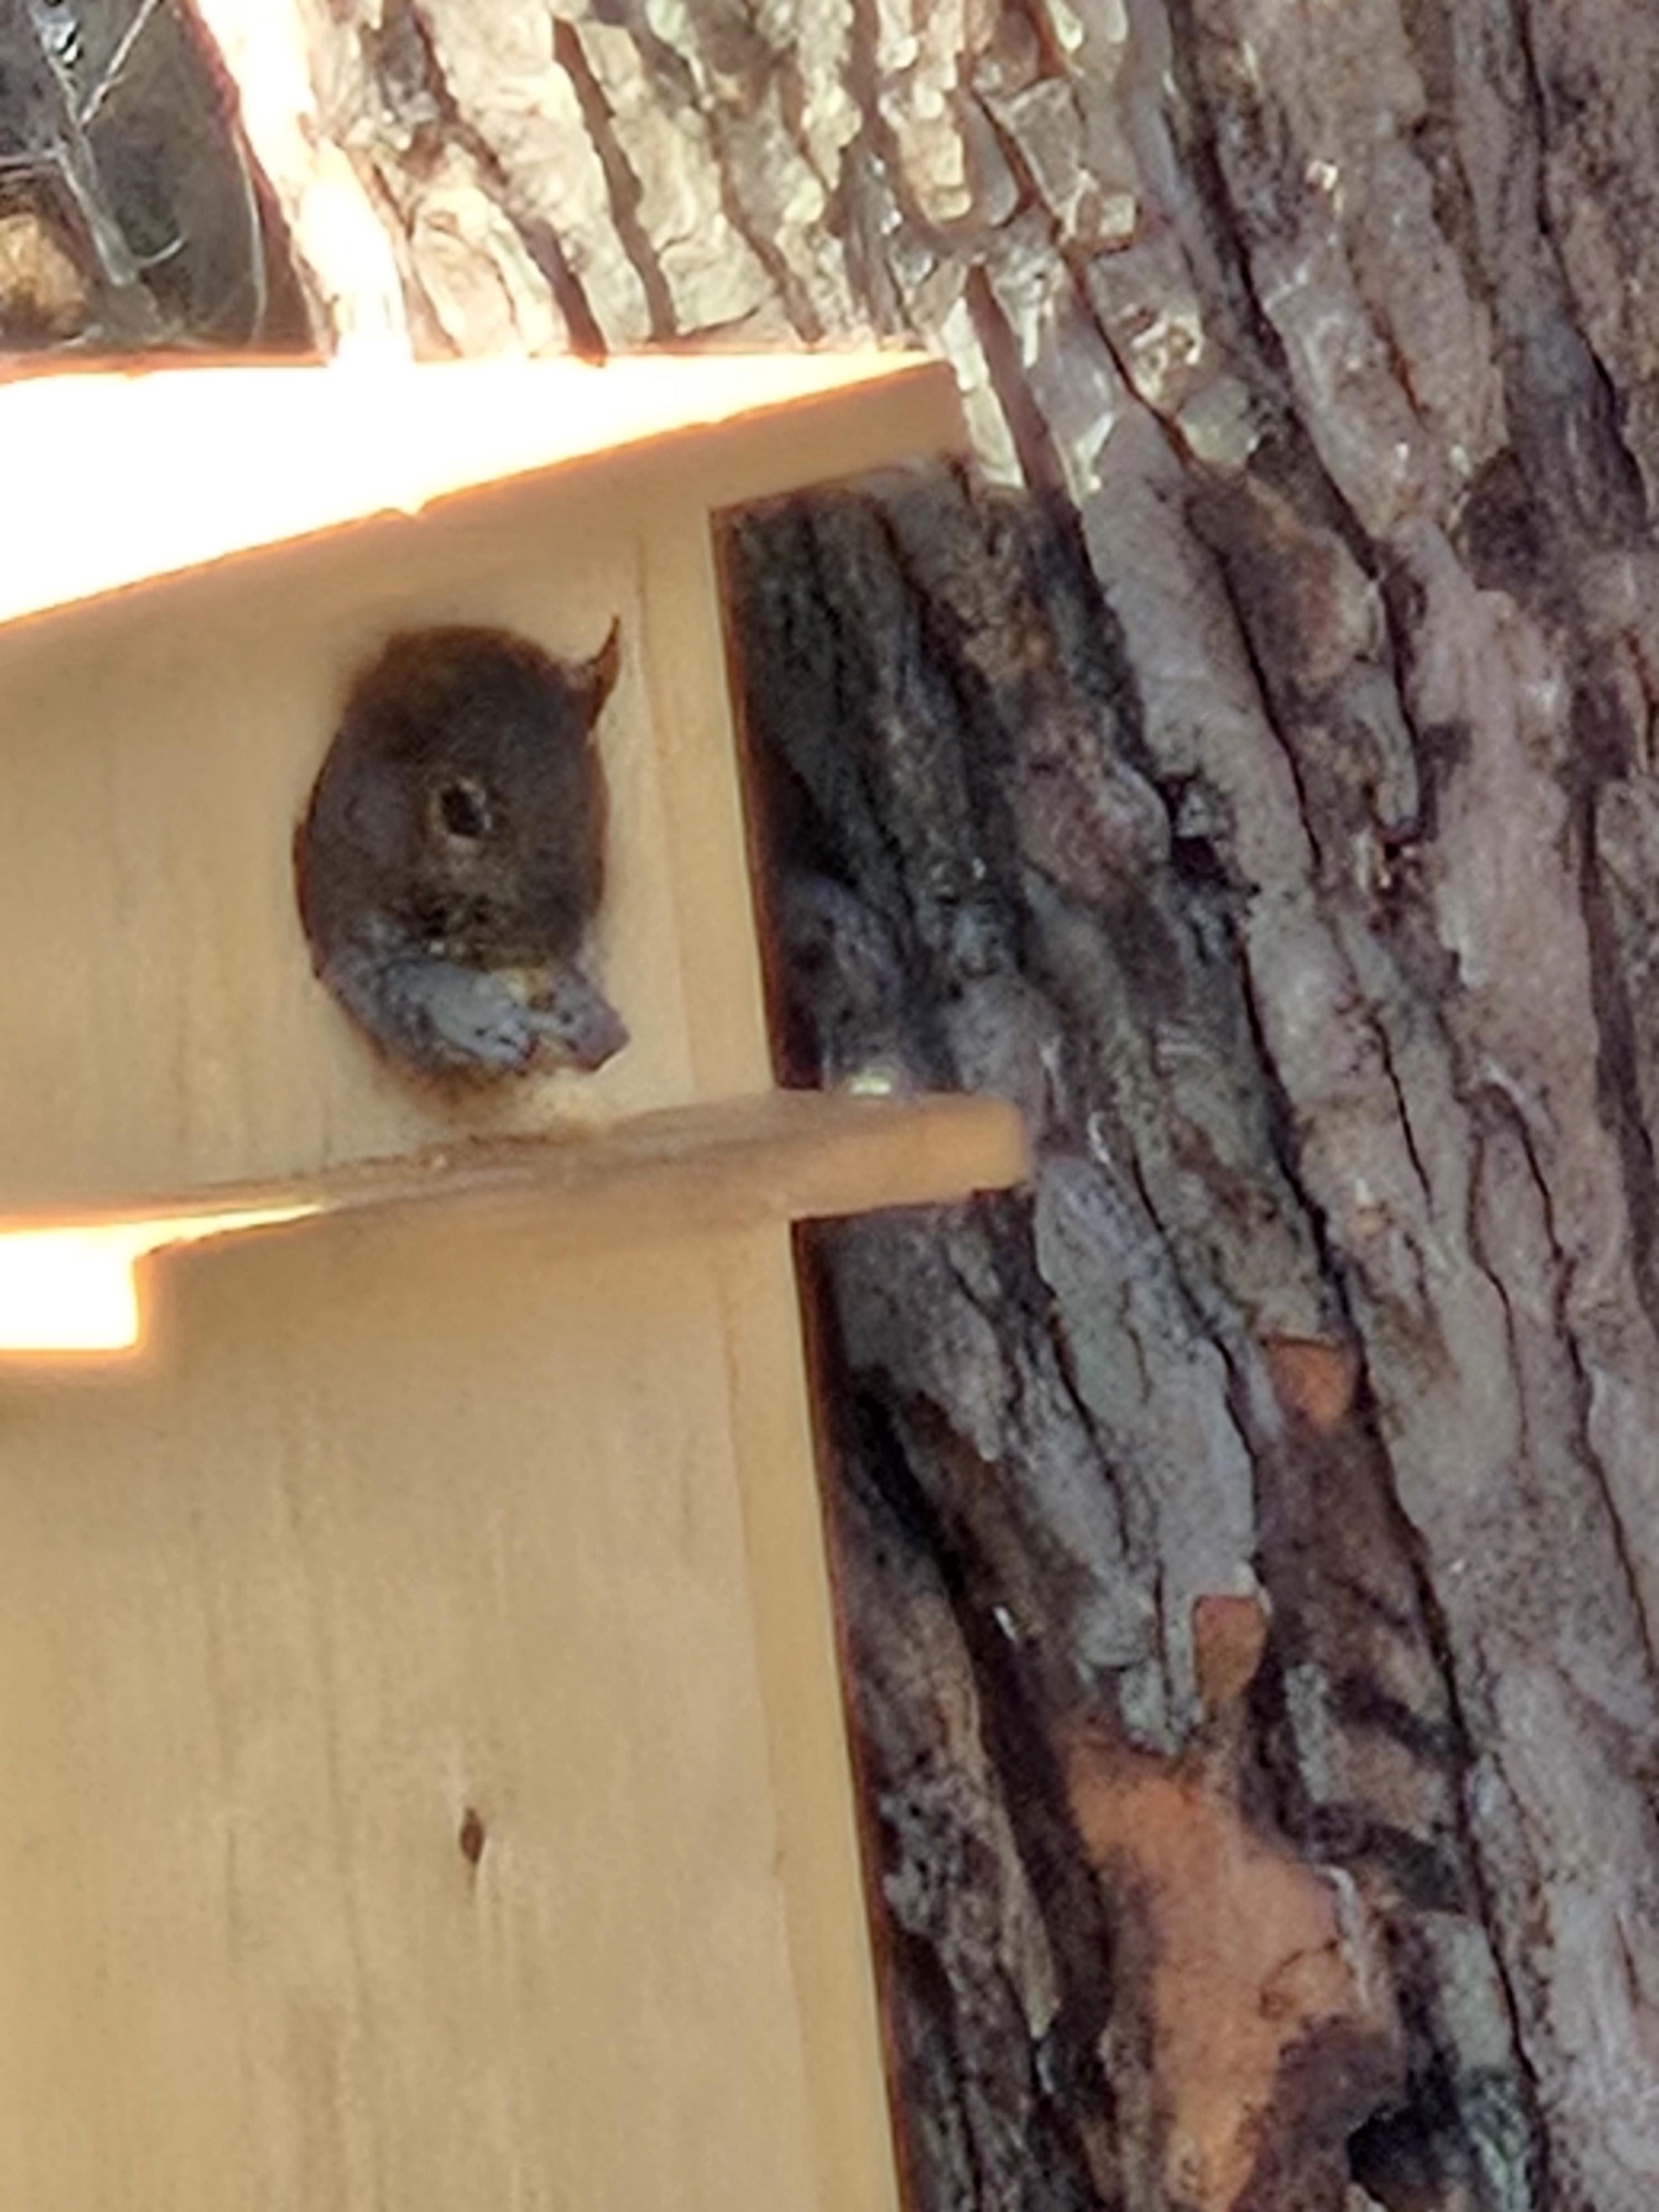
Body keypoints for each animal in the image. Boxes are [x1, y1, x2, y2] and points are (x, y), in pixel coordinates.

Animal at [294, 621, 628, 1078]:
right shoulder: (340, 902)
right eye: (460, 811)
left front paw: (584, 1005)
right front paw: (473, 1018)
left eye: (593, 801)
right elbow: (399, 985)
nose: (545, 947)